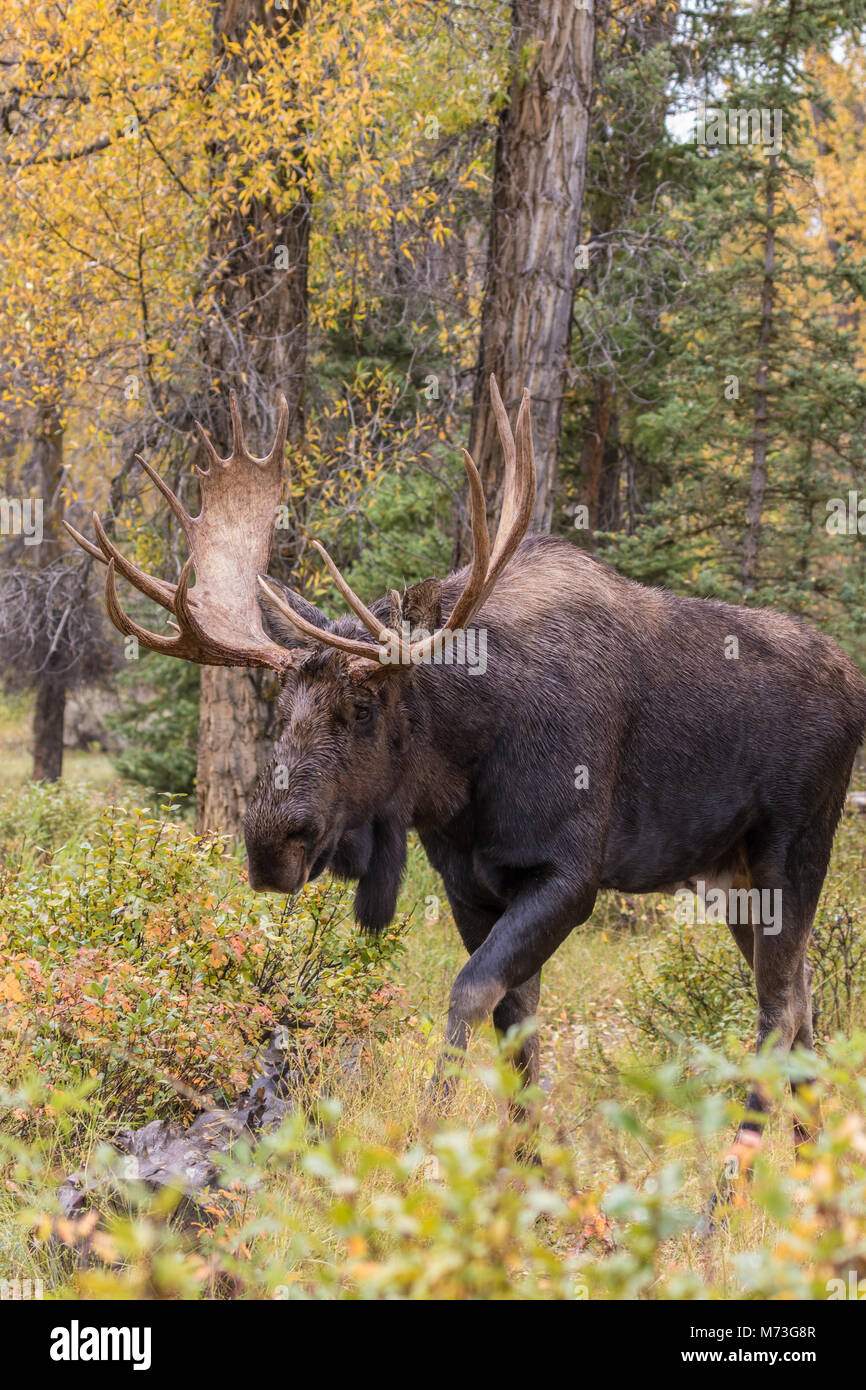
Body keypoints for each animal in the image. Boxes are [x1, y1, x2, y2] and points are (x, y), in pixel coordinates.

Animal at [65, 380, 866, 1176]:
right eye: (279, 707)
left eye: (363, 707)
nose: (268, 843)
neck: (468, 770)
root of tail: (854, 683)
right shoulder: (467, 883)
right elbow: (516, 1027)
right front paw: (529, 1168)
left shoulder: (569, 875)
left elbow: (470, 992)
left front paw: (427, 1143)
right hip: (729, 878)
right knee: (802, 1003)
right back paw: (806, 1164)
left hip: (792, 850)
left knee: (778, 1010)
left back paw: (734, 1177)